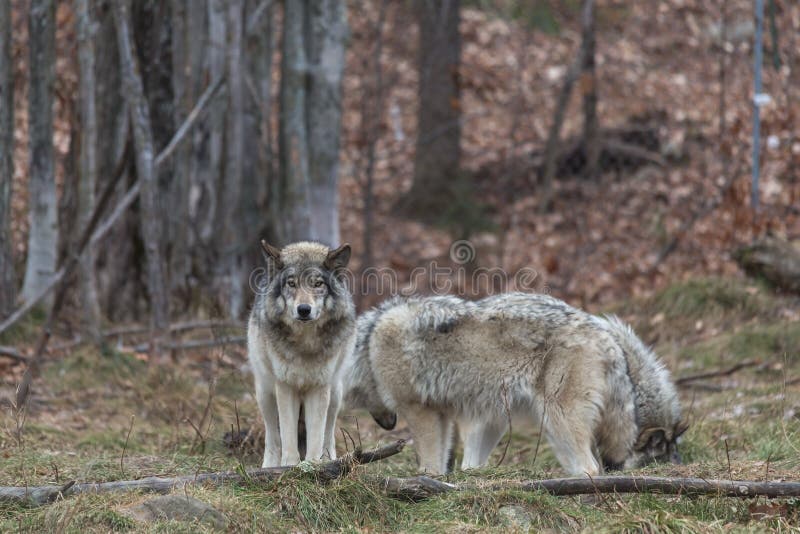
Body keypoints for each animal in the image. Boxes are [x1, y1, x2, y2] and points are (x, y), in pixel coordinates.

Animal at [247, 240, 356, 467]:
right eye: (291, 284)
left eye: (317, 284)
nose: (304, 309)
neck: (305, 344)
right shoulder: (286, 387)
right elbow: (288, 437)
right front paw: (289, 466)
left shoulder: (319, 388)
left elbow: (316, 435)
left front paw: (313, 466)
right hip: (265, 395)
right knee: (273, 438)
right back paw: (269, 467)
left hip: (335, 395)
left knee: (328, 435)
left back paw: (329, 460)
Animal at [359, 292, 686, 476]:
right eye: (662, 459)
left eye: (672, 457)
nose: (680, 468)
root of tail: (605, 337)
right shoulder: (476, 418)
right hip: (553, 420)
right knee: (587, 467)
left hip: (555, 419)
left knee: (589, 467)